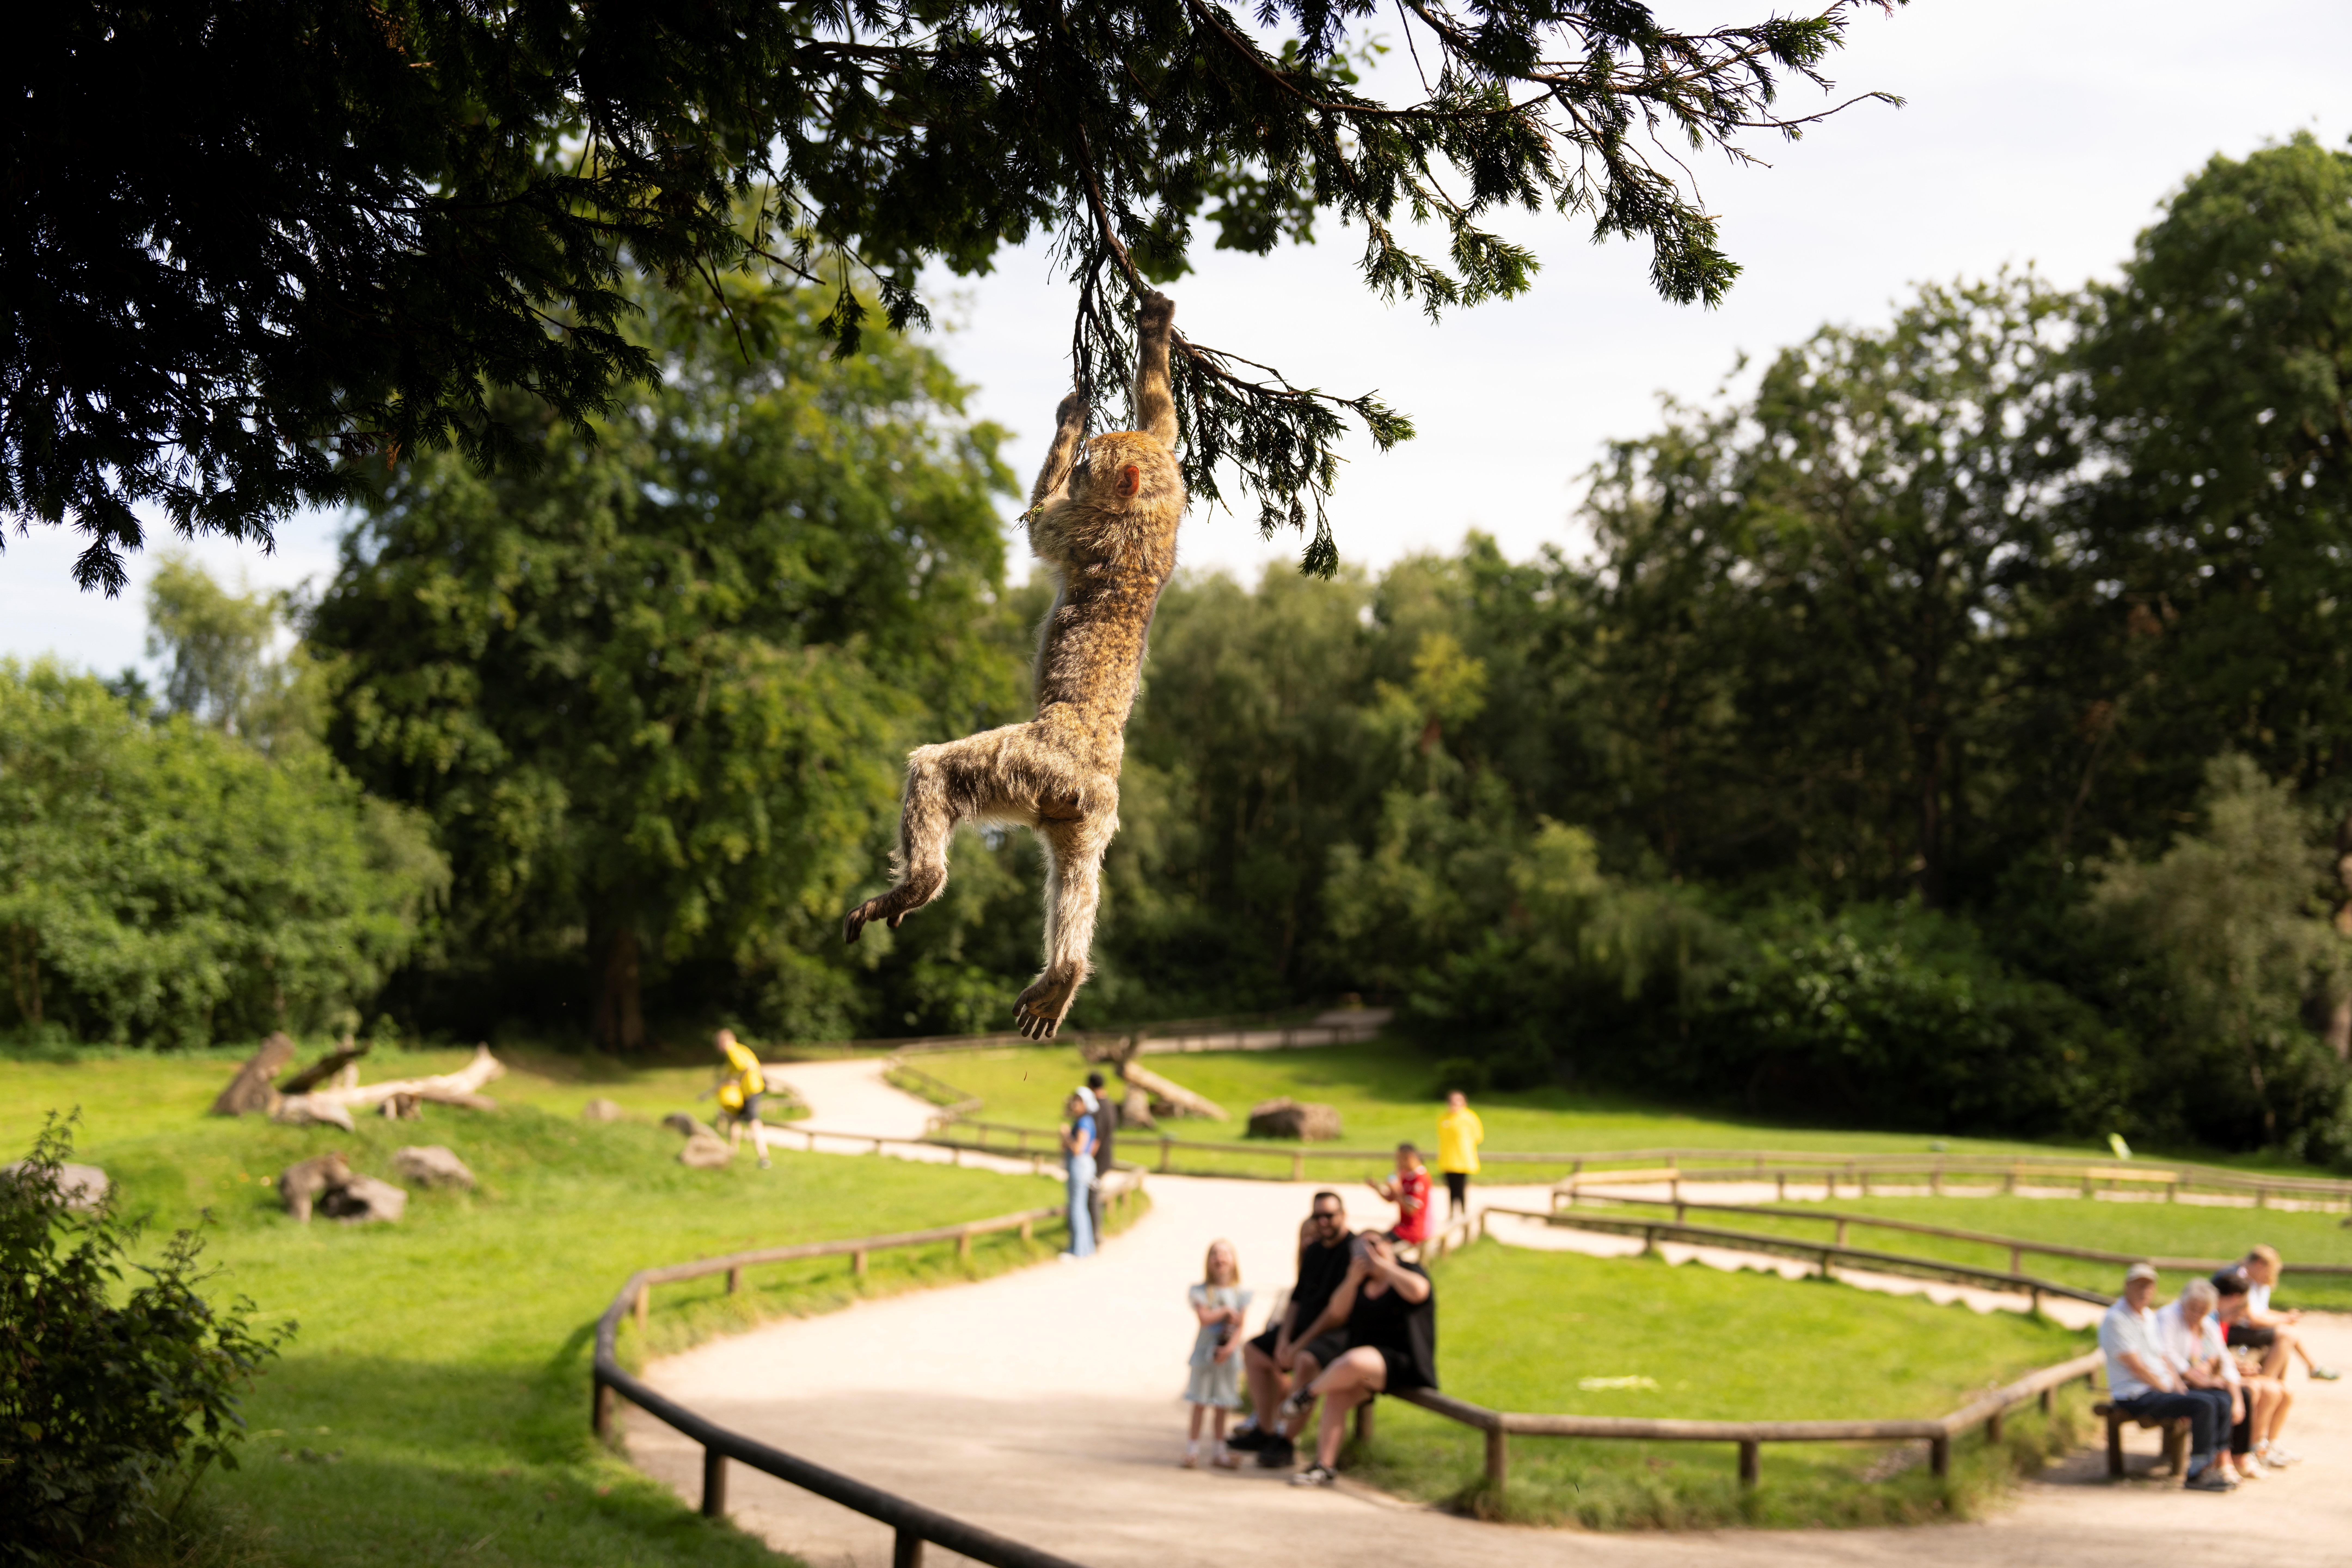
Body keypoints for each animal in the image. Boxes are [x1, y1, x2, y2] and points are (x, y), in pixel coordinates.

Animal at [843, 290, 1186, 1040]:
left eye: (1091, 464)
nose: (1082, 464)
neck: (1145, 504)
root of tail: (1091, 768)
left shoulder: (1084, 527)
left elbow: (1038, 523)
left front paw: (1070, 419)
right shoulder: (1170, 486)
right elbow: (1161, 418)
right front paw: (1153, 328)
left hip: (1031, 764)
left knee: (938, 769)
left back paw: (917, 886)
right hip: (1086, 811)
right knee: (1077, 878)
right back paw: (1064, 975)